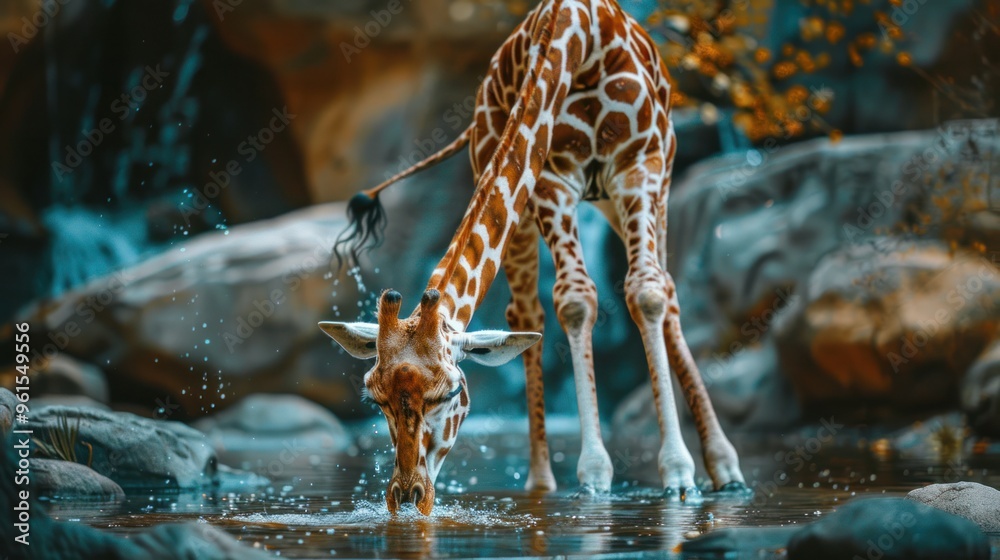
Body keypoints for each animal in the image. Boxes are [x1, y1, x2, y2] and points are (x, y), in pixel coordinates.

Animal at [321, 0, 747, 515]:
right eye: (374, 397)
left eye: (452, 391)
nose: (407, 496)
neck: (579, 38)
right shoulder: (550, 180)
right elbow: (575, 300)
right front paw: (595, 477)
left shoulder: (638, 166)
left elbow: (641, 293)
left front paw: (676, 474)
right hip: (525, 202)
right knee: (527, 312)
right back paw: (542, 482)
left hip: (654, 188)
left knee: (663, 287)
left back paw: (724, 466)